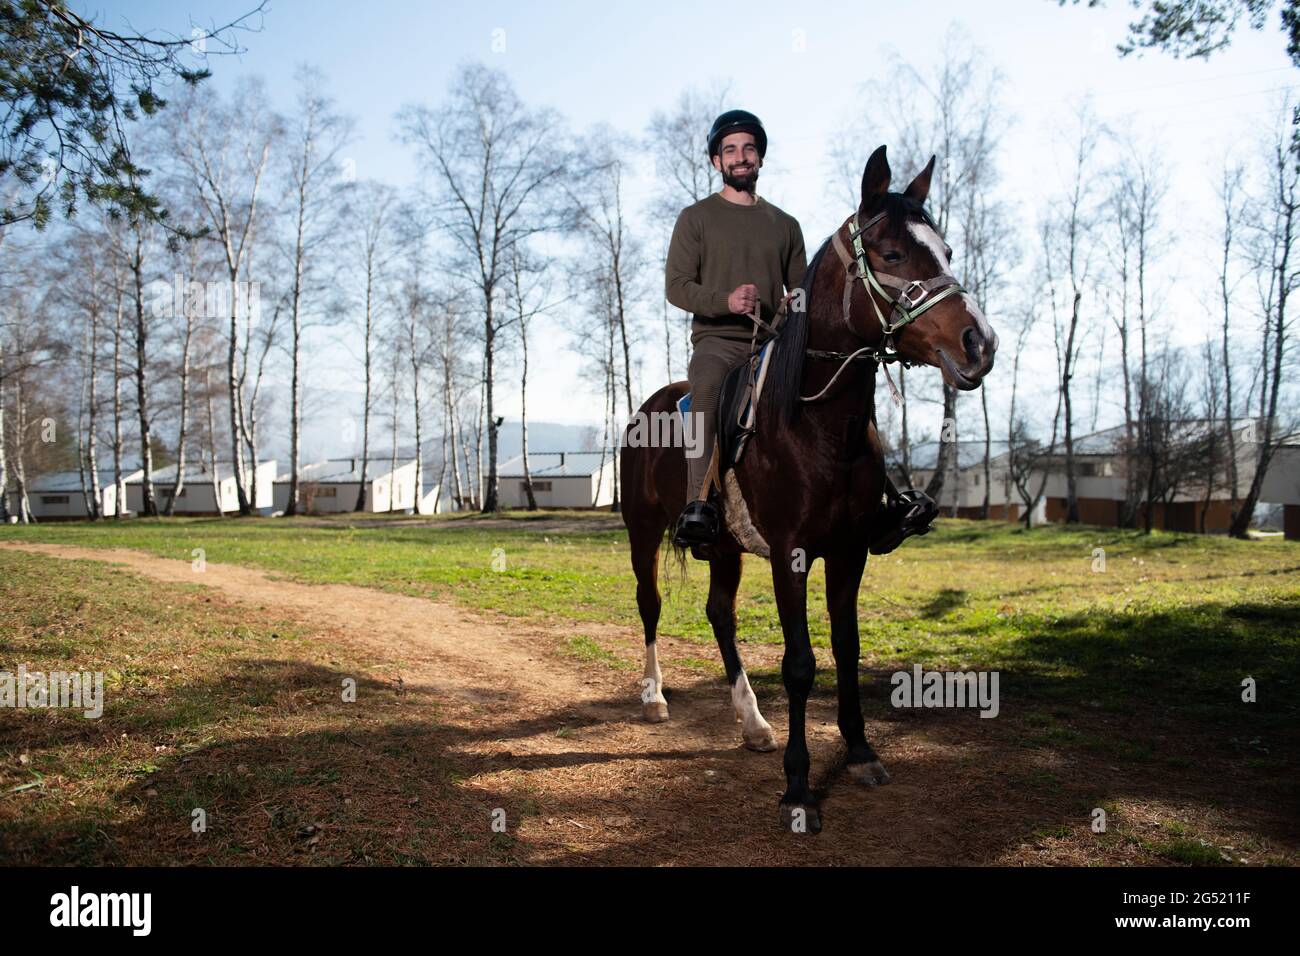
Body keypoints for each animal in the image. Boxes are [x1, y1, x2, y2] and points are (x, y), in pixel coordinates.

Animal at [619, 145, 999, 832]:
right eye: (892, 254)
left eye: (948, 250)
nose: (978, 342)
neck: (816, 422)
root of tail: (650, 404)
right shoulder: (790, 555)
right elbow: (800, 664)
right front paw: (798, 788)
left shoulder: (848, 553)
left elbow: (846, 649)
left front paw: (861, 752)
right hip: (644, 532)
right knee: (651, 605)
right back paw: (656, 697)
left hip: (725, 547)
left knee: (719, 614)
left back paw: (752, 723)